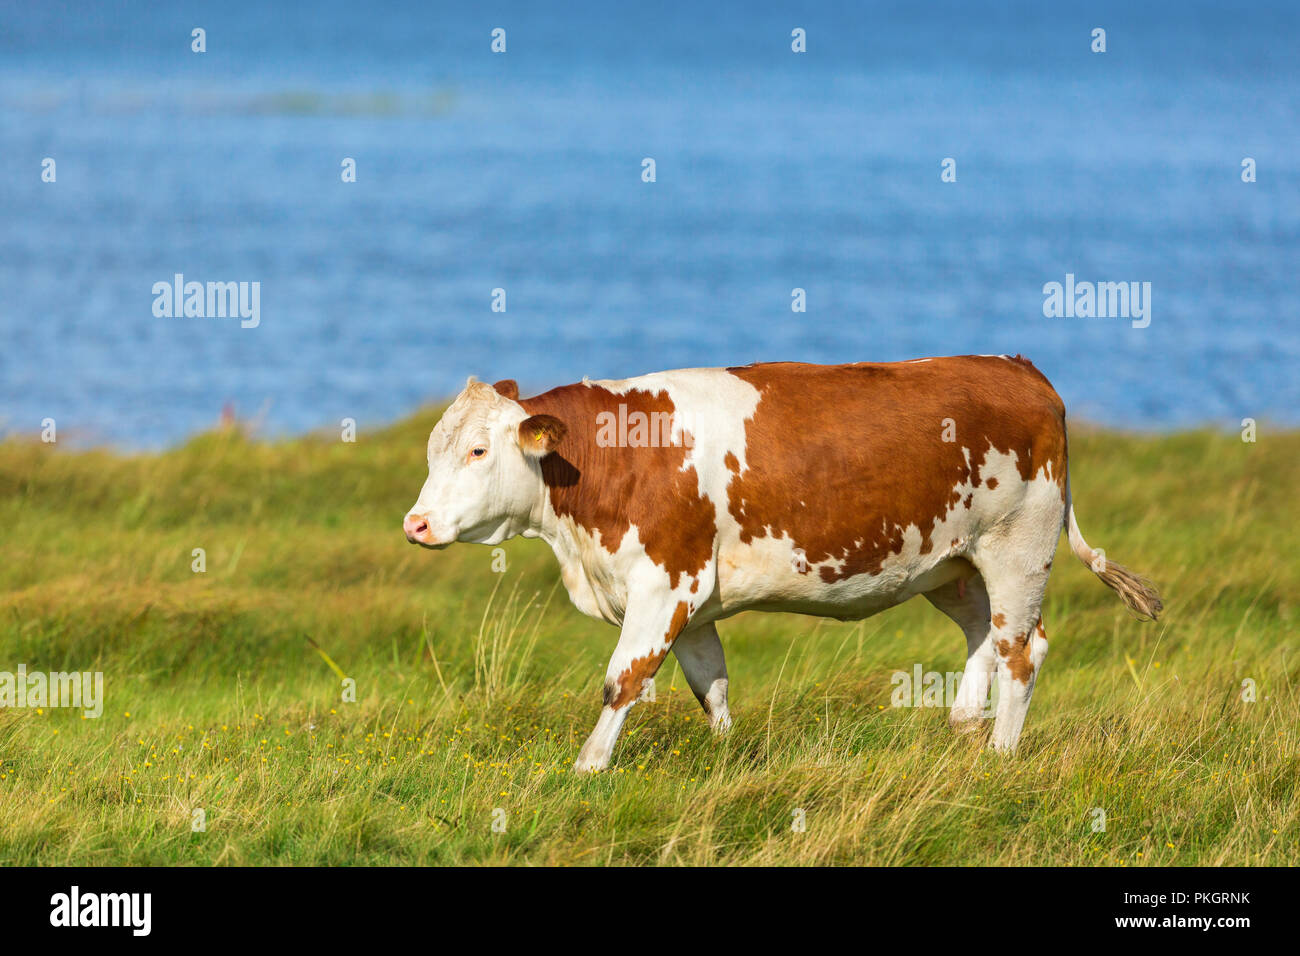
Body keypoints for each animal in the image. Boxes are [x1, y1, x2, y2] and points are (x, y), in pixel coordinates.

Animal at [403, 356, 1162, 772]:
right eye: (434, 449)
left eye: (477, 450)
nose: (416, 523)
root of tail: (1017, 367)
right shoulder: (691, 596)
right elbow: (709, 684)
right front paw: (726, 755)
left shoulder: (665, 581)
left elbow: (624, 680)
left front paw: (588, 768)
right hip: (949, 563)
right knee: (987, 636)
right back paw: (963, 728)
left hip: (1017, 547)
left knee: (1020, 650)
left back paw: (1000, 754)